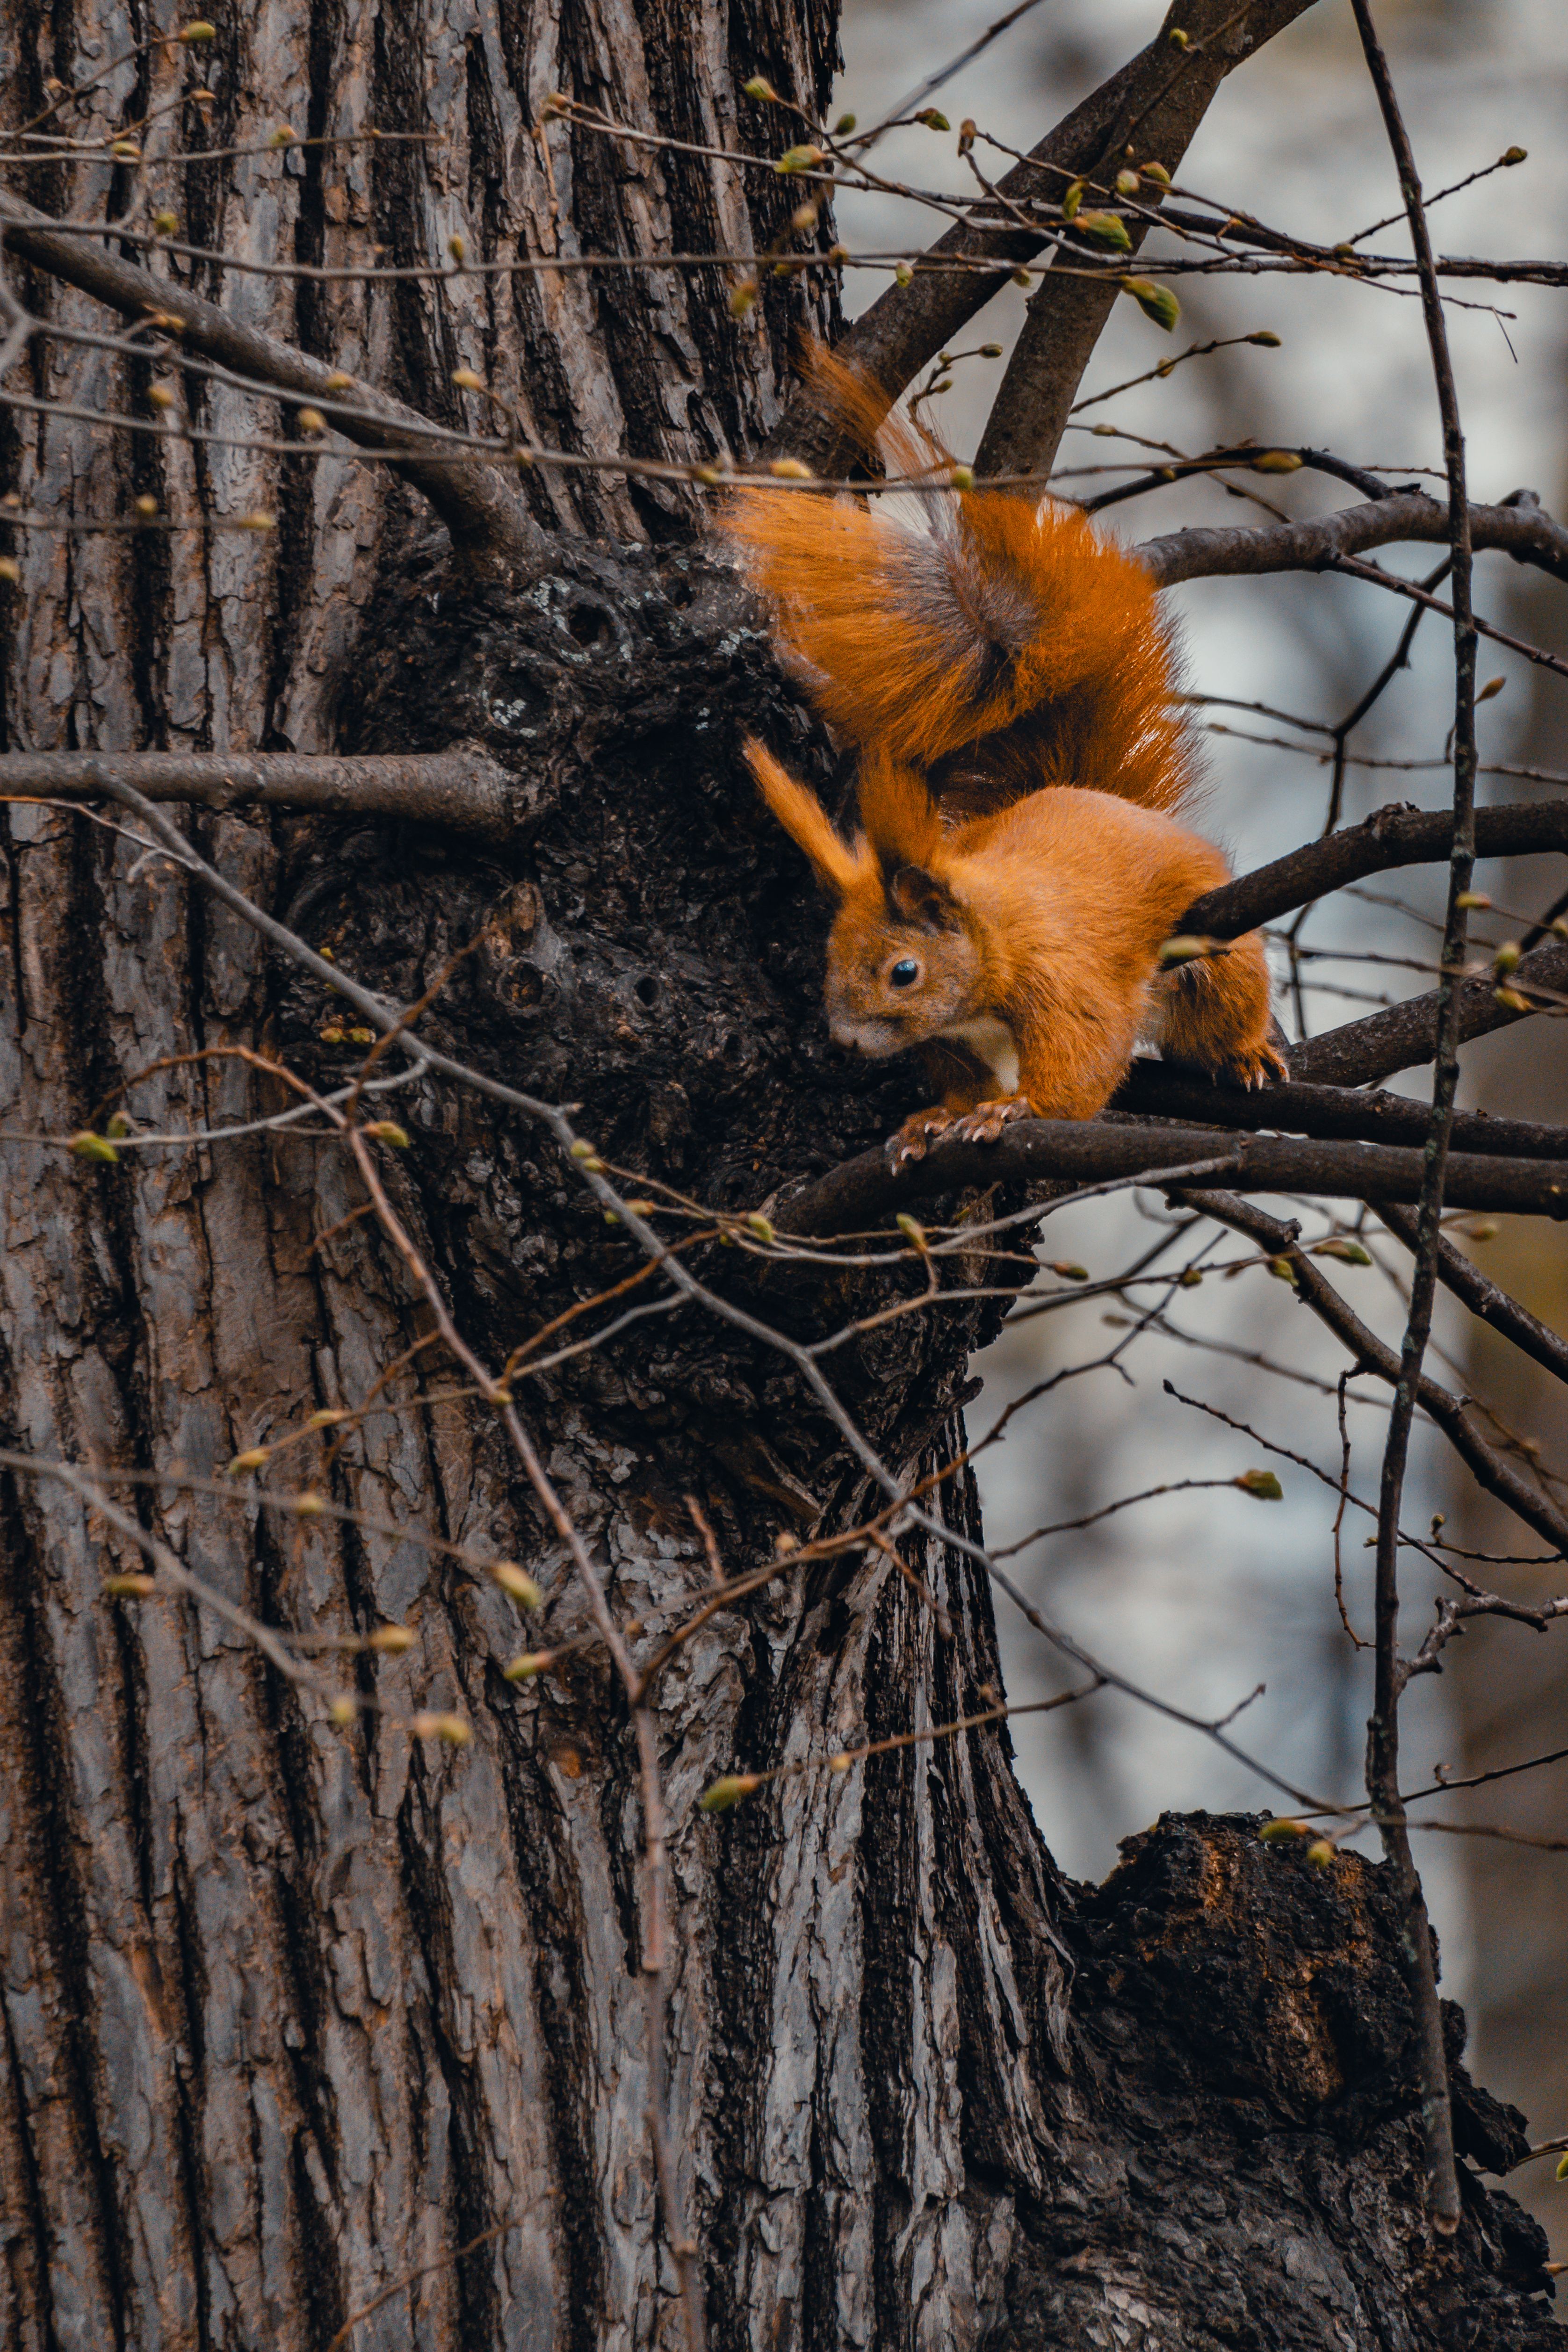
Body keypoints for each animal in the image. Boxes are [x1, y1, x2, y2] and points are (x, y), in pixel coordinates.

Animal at [722, 351, 1286, 1166]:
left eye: (904, 972)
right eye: (829, 956)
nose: (847, 1042)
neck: (987, 948)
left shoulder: (1061, 978)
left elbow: (1083, 1059)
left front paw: (1019, 1110)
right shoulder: (955, 1041)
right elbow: (960, 1083)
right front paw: (933, 1120)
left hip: (1214, 956)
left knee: (1225, 1007)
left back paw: (1245, 1053)